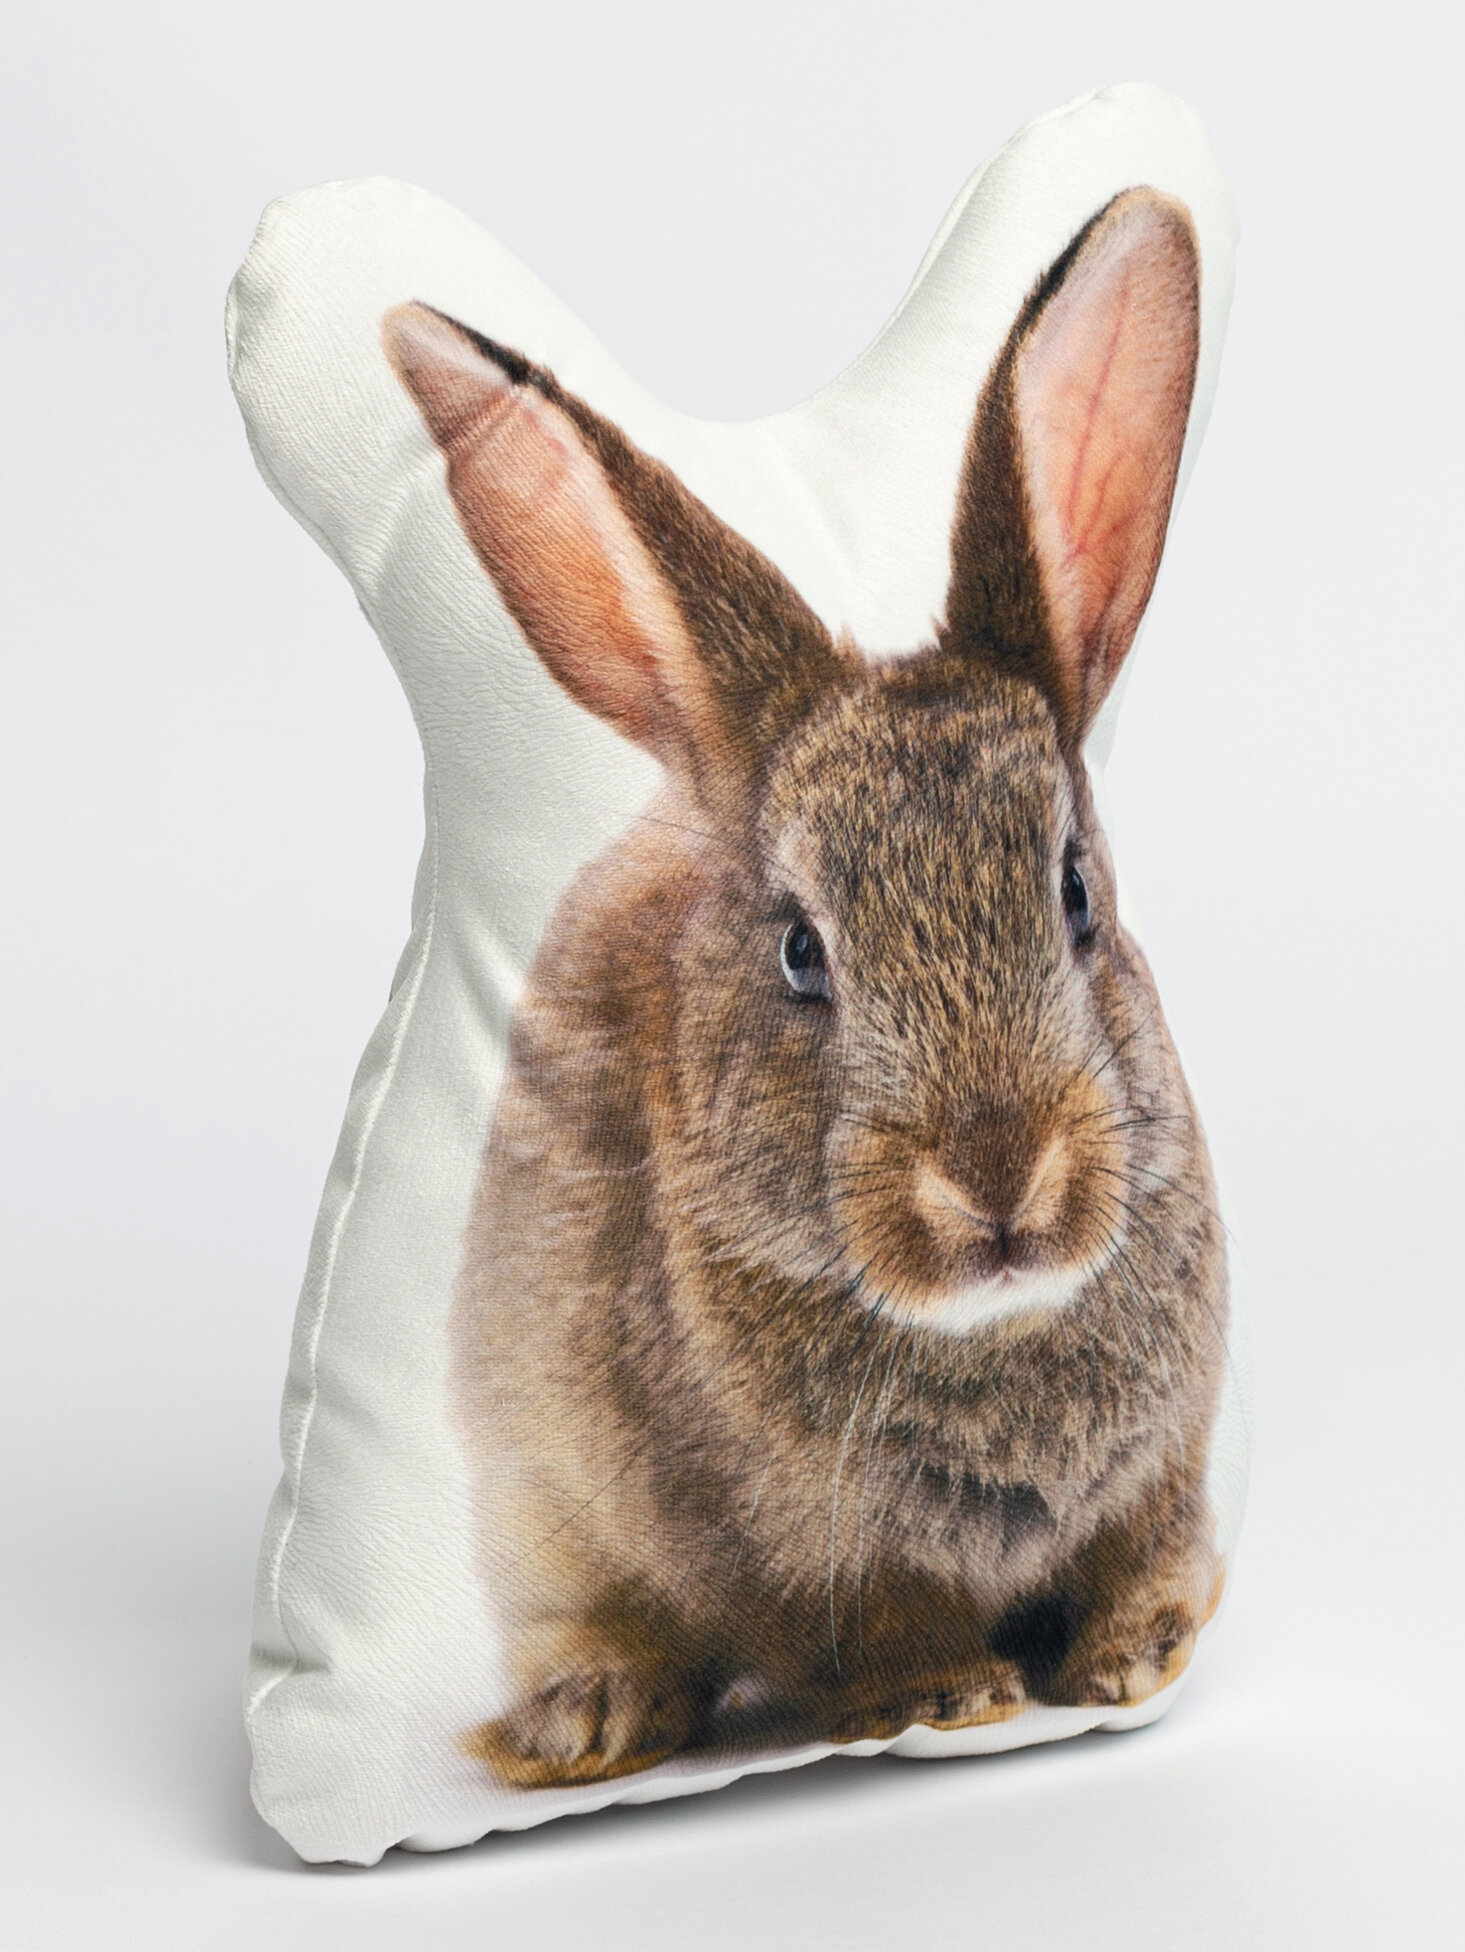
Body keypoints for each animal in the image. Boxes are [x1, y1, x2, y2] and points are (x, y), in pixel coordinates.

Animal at [382, 185, 1229, 1792]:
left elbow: (1135, 1562)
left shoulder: (1159, 1475)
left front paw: (1134, 1653)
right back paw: (588, 1719)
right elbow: (875, 1629)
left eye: (1075, 895)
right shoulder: (814, 1558)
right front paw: (949, 1698)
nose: (997, 1174)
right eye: (800, 953)